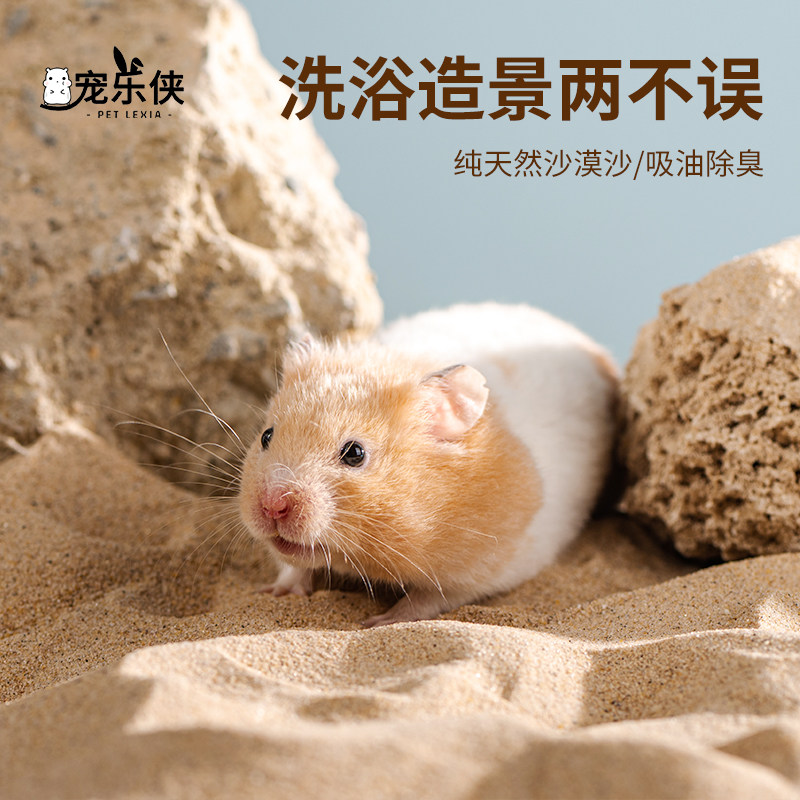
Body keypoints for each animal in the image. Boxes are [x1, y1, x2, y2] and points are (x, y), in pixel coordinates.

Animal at [238, 303, 618, 627]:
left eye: (355, 454)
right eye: (266, 436)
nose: (272, 506)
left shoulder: (484, 567)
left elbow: (430, 597)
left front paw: (379, 621)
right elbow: (294, 567)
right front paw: (275, 592)